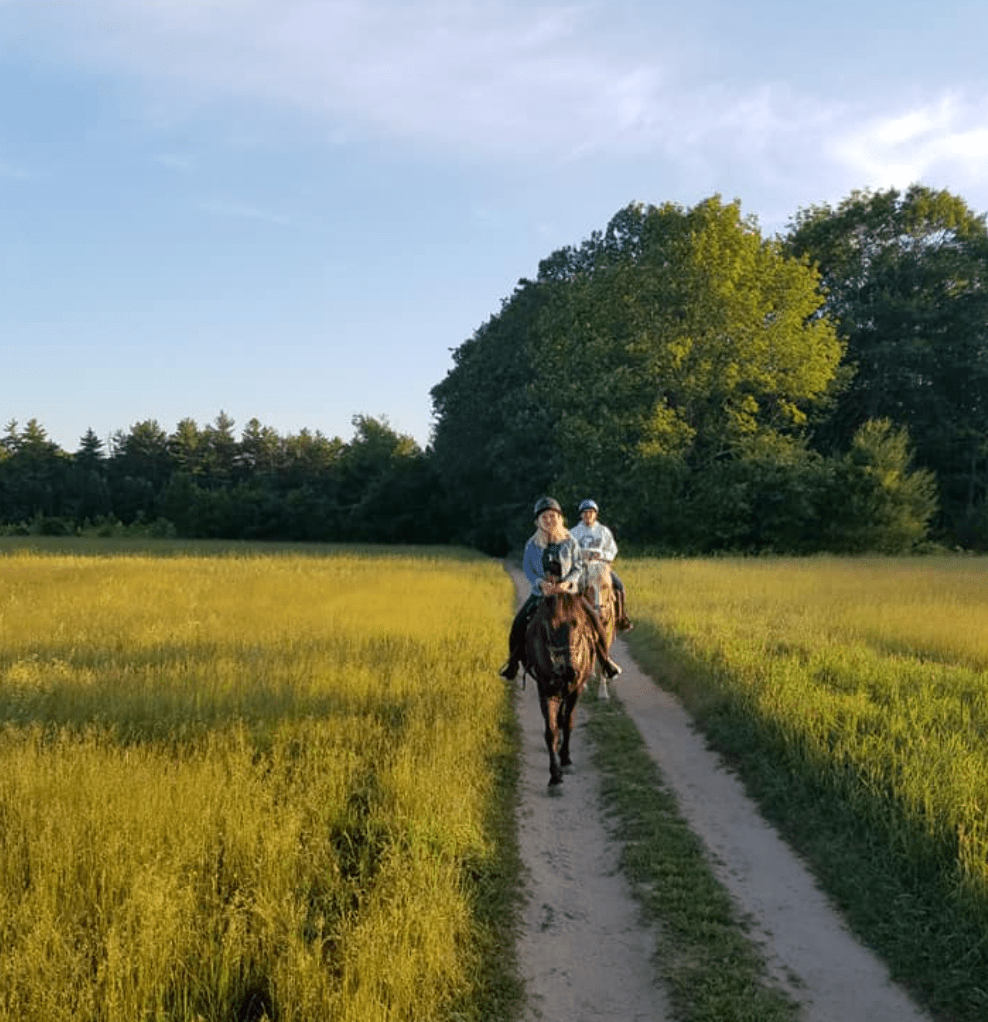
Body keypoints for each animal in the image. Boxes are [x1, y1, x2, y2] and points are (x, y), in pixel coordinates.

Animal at [524, 591, 597, 786]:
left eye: (579, 624)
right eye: (549, 627)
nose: (570, 671)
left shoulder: (575, 691)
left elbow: (568, 722)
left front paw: (565, 758)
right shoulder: (545, 689)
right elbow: (551, 730)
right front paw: (554, 773)